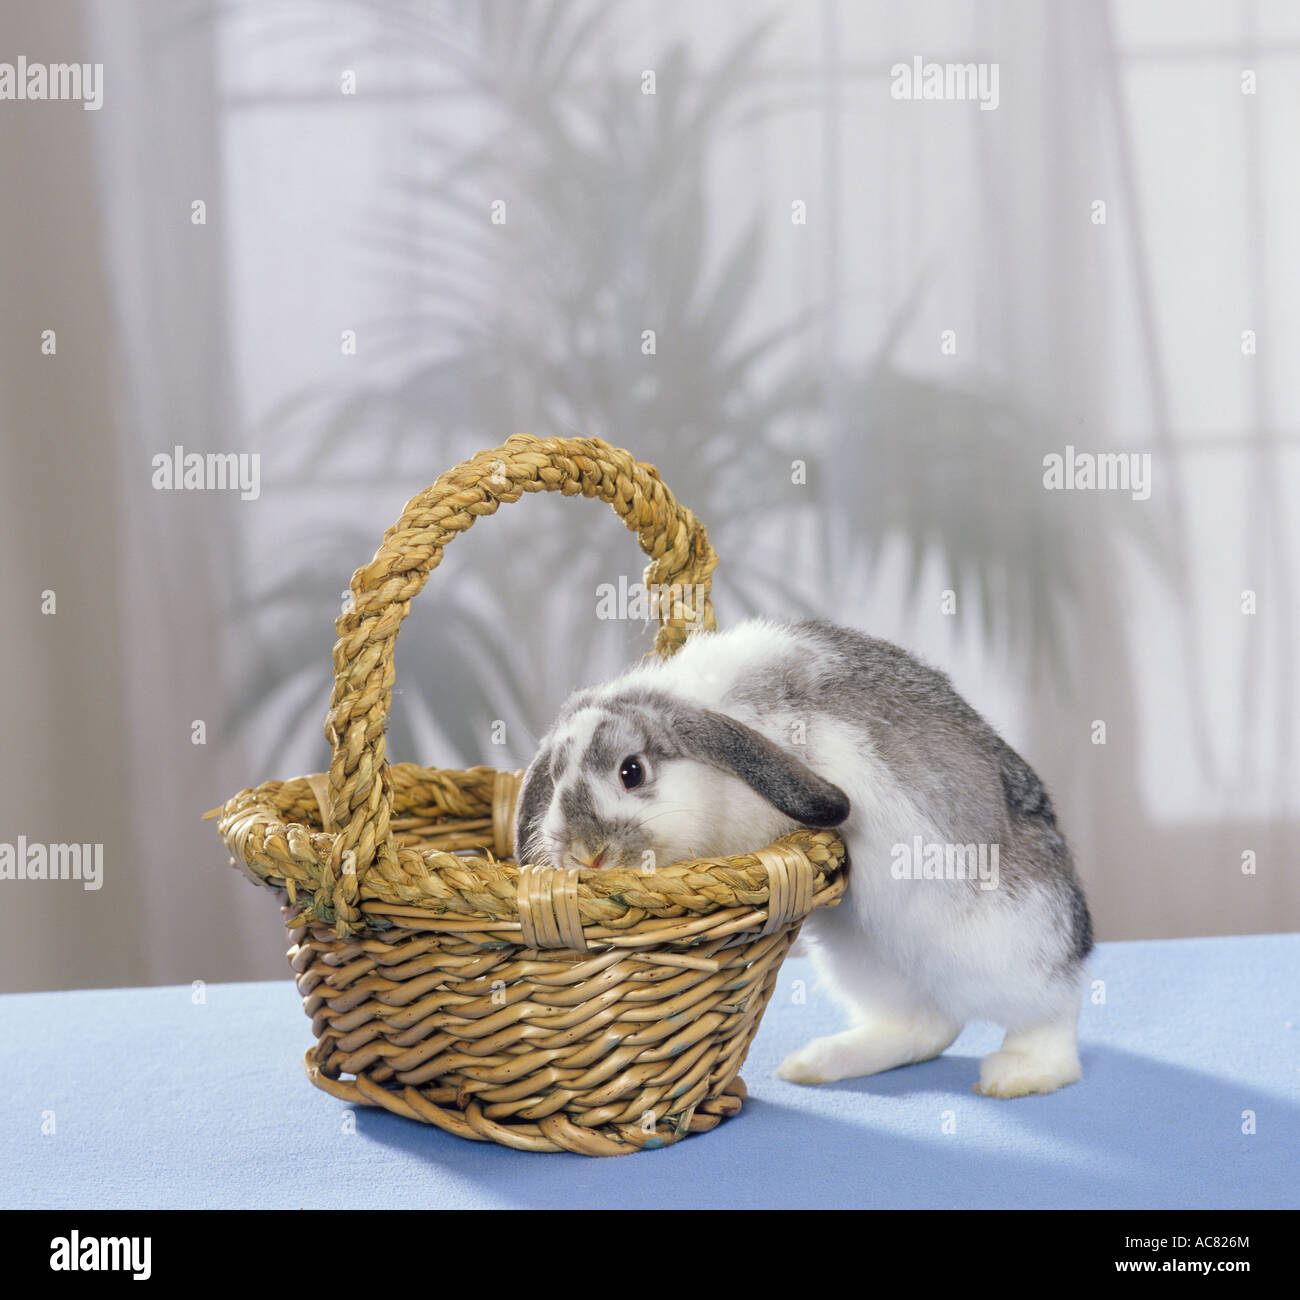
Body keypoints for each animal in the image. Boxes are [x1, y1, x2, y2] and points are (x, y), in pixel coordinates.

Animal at [514, 615, 1093, 1099]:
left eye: (631, 771)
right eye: (556, 778)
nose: (588, 854)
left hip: (1008, 945)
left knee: (1055, 1010)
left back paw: (1020, 1075)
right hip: (867, 958)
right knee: (928, 1027)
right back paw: (819, 1064)